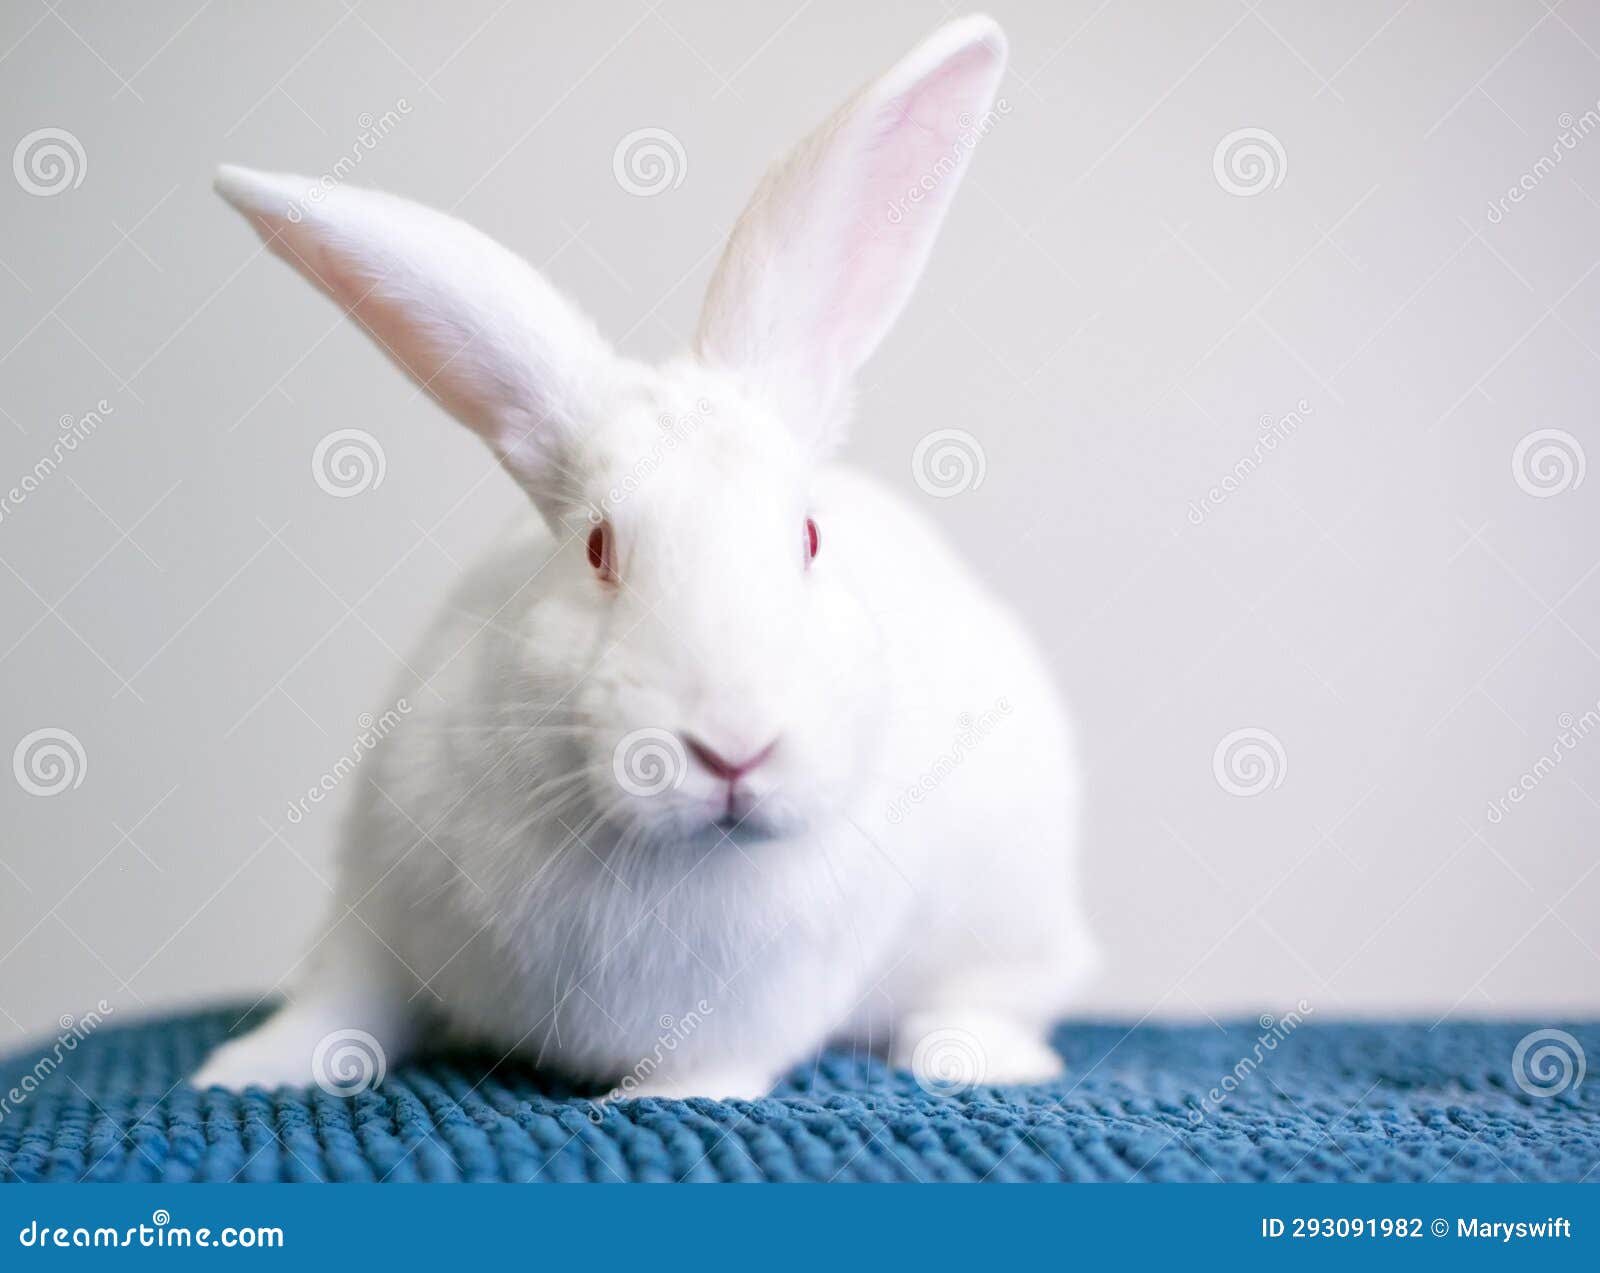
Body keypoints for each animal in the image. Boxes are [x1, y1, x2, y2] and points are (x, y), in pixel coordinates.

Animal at [192, 13, 1095, 1102]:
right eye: (597, 547)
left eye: (808, 537)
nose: (732, 749)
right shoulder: (374, 907)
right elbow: (340, 1005)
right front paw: (248, 1072)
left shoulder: (766, 1001)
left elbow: (709, 1067)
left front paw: (663, 1100)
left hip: (1015, 917)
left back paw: (971, 1057)